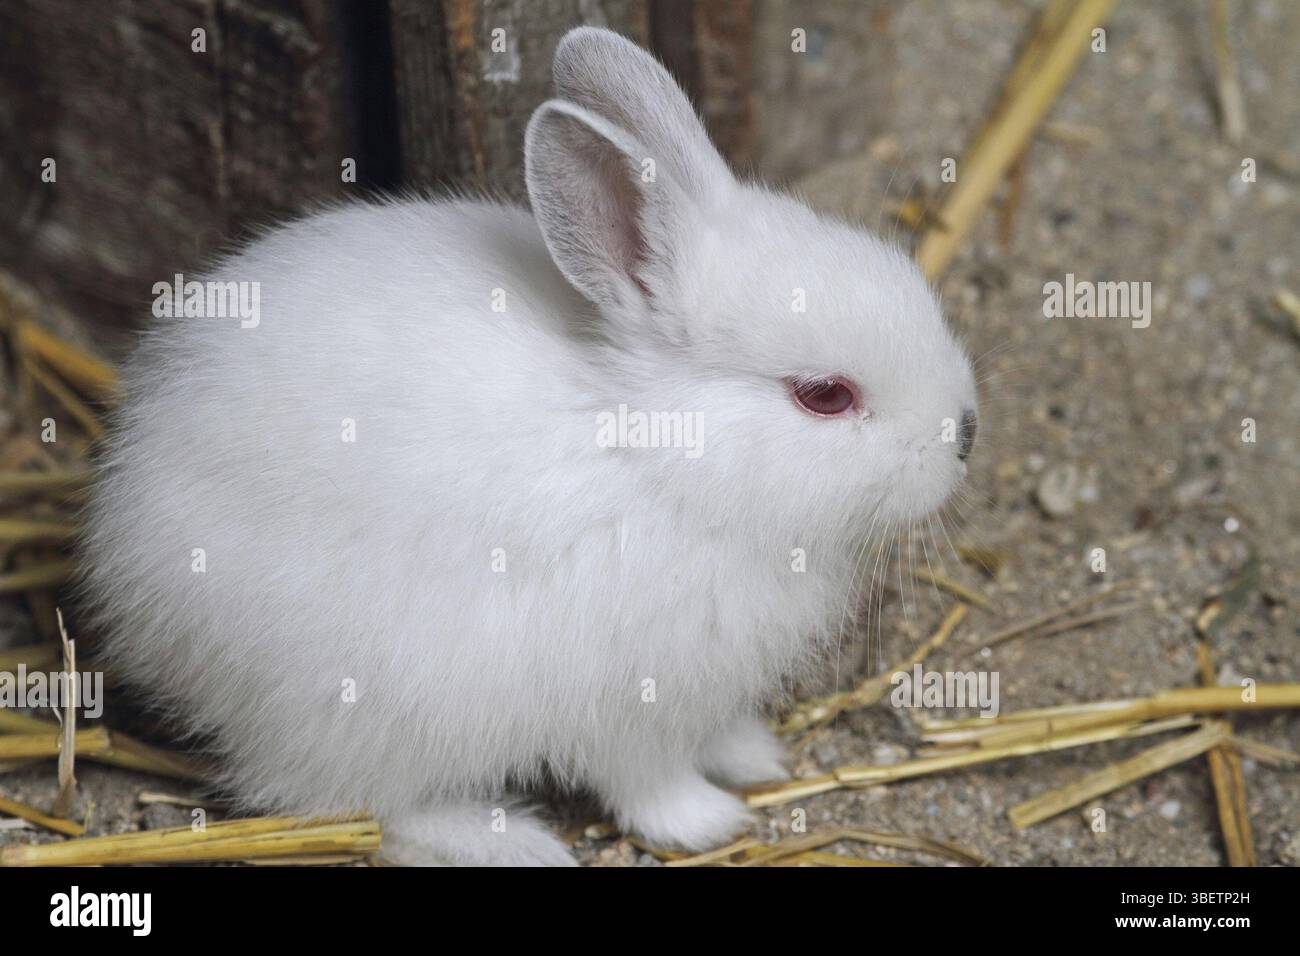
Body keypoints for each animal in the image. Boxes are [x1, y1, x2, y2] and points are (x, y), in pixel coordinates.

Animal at [79, 26, 977, 866]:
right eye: (825, 396)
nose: (964, 435)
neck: (660, 457)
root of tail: (127, 571)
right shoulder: (626, 697)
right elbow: (647, 780)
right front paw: (707, 821)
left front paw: (755, 757)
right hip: (359, 707)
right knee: (346, 803)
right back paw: (509, 839)